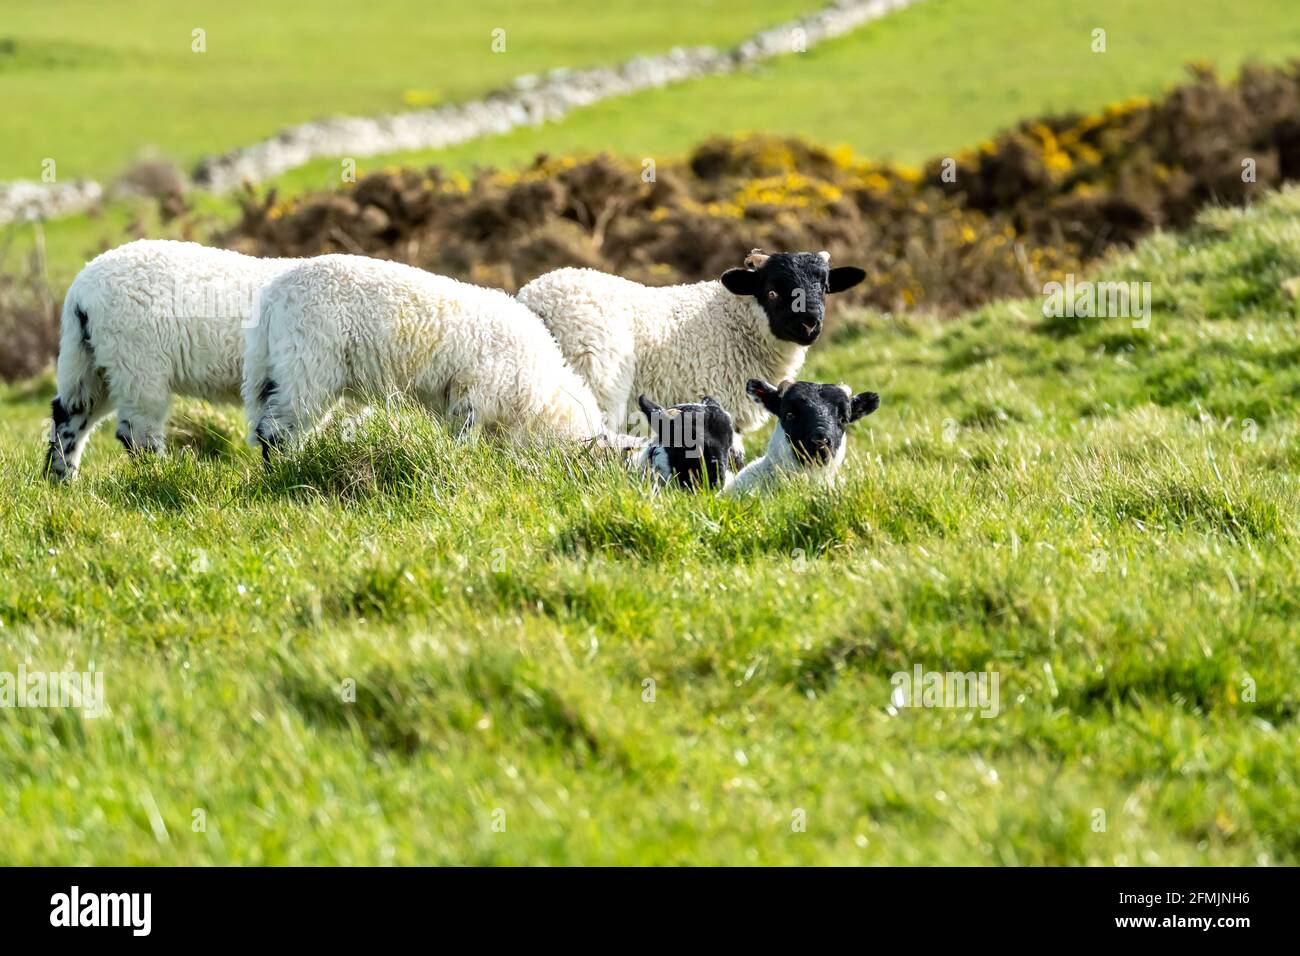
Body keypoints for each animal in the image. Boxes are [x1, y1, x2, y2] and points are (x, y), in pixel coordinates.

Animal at [45, 239, 298, 481]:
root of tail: (80, 293)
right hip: (137, 358)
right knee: (137, 431)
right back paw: (156, 472)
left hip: (90, 359)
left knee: (69, 413)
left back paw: (62, 479)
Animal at [243, 254, 614, 456]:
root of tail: (274, 294)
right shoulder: (472, 395)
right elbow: (464, 436)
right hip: (308, 365)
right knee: (275, 429)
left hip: (278, 365)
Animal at [515, 249, 866, 462]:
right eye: (772, 291)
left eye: (824, 287)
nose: (809, 324)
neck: (734, 320)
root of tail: (536, 301)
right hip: (594, 380)